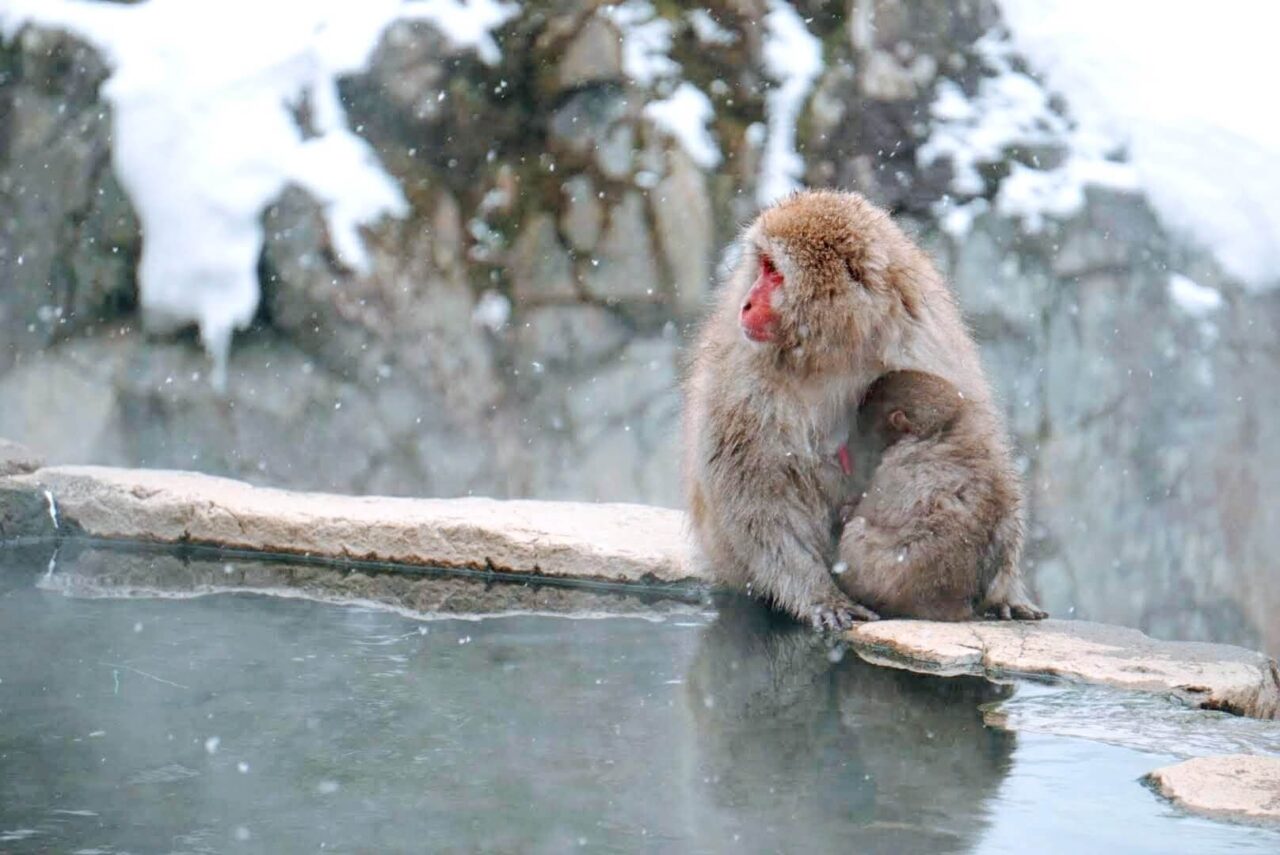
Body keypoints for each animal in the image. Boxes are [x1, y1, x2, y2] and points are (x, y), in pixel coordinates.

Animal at [835, 370, 1047, 621]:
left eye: (863, 427)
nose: (849, 442)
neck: (942, 430)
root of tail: (957, 605)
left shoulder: (895, 468)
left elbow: (869, 510)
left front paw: (848, 509)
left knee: (856, 529)